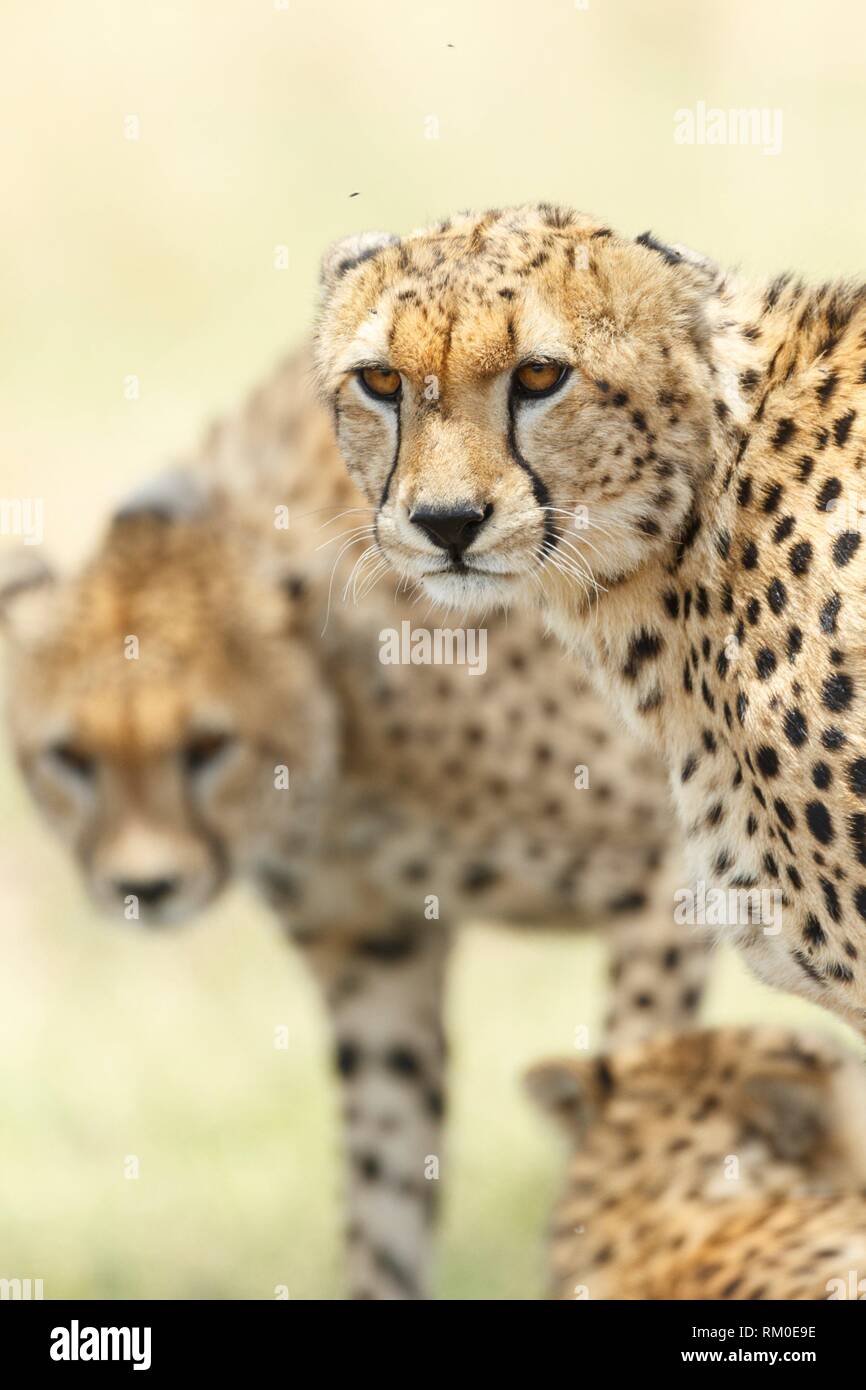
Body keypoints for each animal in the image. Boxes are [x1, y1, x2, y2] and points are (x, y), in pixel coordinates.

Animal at [0, 349, 707, 1300]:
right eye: (71, 757)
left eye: (207, 747)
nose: (144, 886)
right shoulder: (372, 951)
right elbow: (385, 1185)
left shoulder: (670, 879)